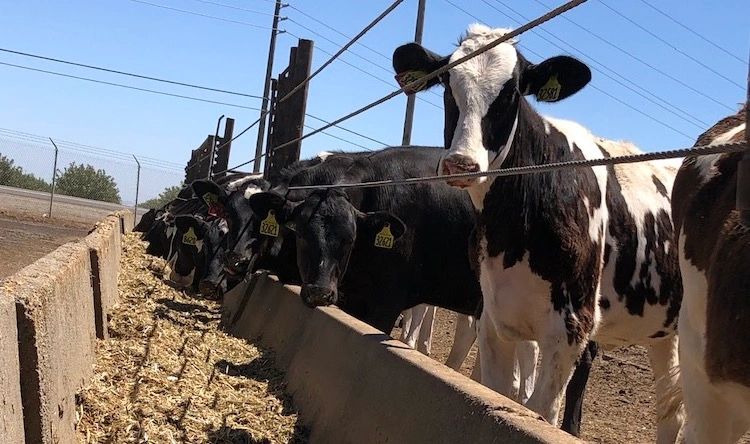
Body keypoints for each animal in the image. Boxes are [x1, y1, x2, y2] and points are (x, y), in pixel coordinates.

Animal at [392, 24, 684, 442]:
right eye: (448, 84)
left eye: (512, 92)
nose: (461, 163)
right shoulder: (494, 318)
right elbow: (501, 393)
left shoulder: (569, 329)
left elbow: (538, 409)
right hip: (663, 331)